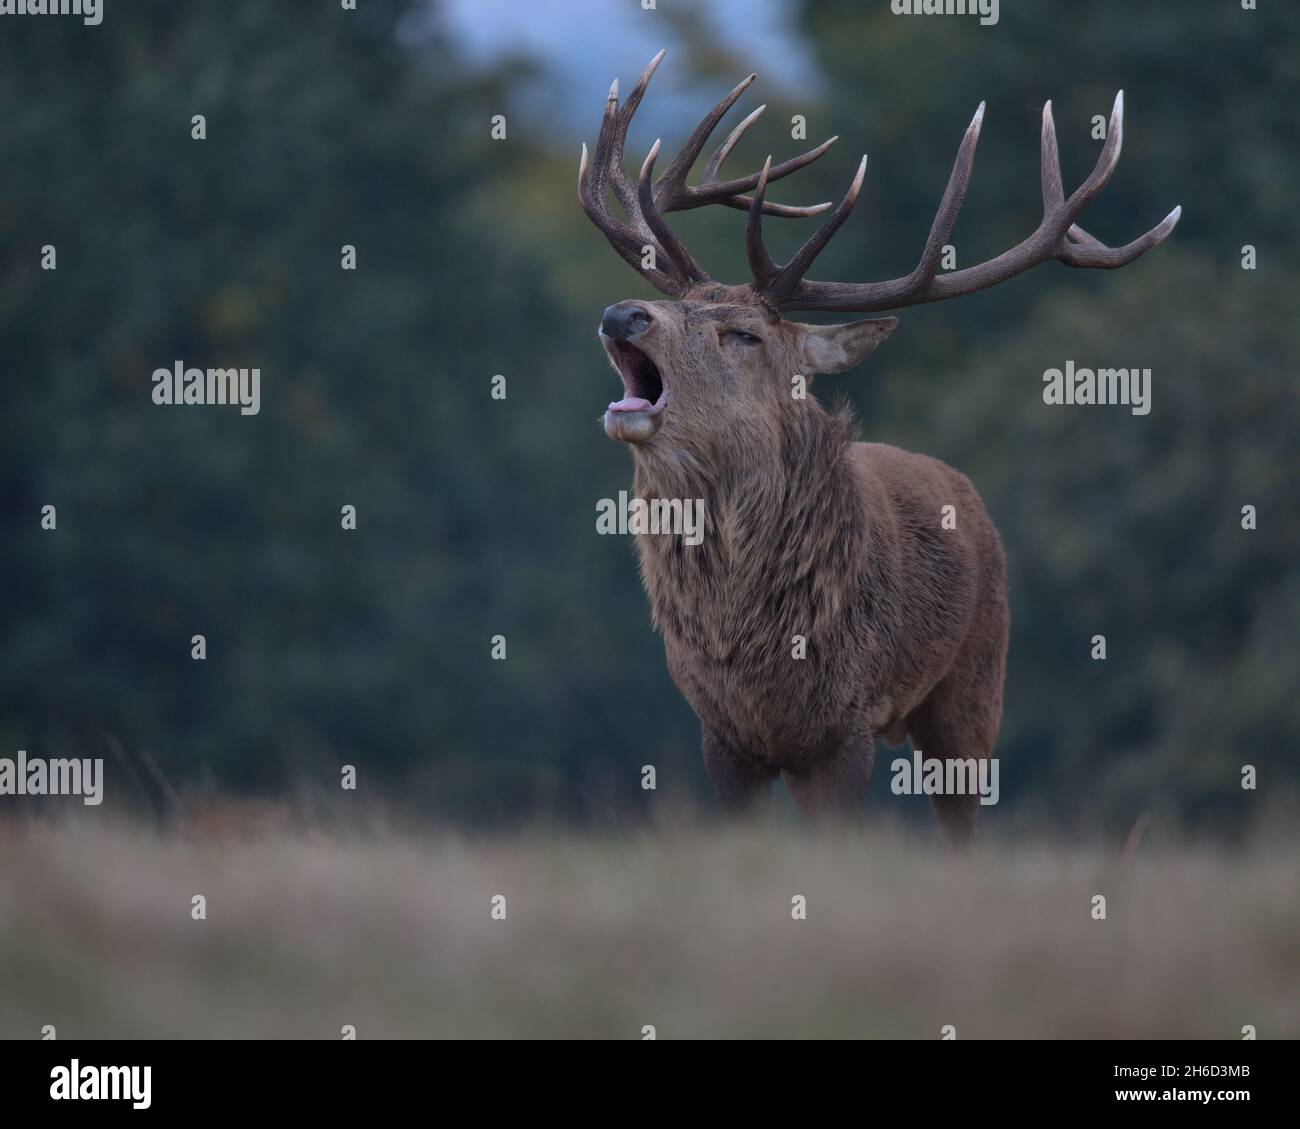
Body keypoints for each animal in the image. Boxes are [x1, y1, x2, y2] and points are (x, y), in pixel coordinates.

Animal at [578, 51, 1179, 843]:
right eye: (678, 305)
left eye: (744, 333)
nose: (623, 313)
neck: (755, 654)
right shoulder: (721, 733)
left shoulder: (845, 724)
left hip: (976, 683)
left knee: (961, 826)